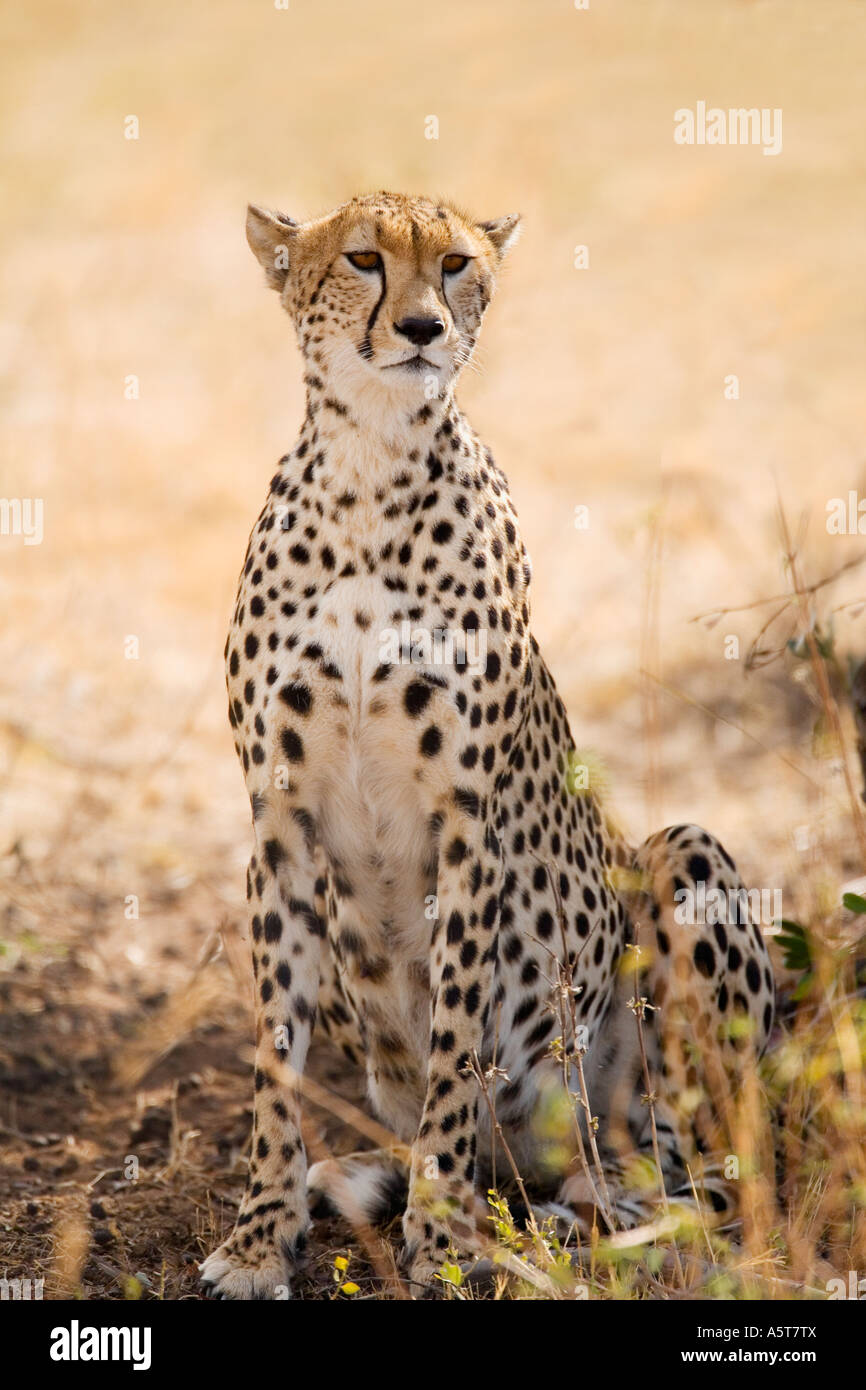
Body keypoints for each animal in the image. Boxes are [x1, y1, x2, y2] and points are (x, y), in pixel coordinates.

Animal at [199, 191, 775, 1298]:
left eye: (457, 263)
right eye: (364, 260)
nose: (424, 327)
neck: (368, 476)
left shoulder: (466, 823)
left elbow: (461, 1039)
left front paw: (438, 1239)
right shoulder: (280, 820)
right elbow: (274, 1055)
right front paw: (259, 1237)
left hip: (680, 862)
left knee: (711, 1181)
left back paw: (604, 1213)